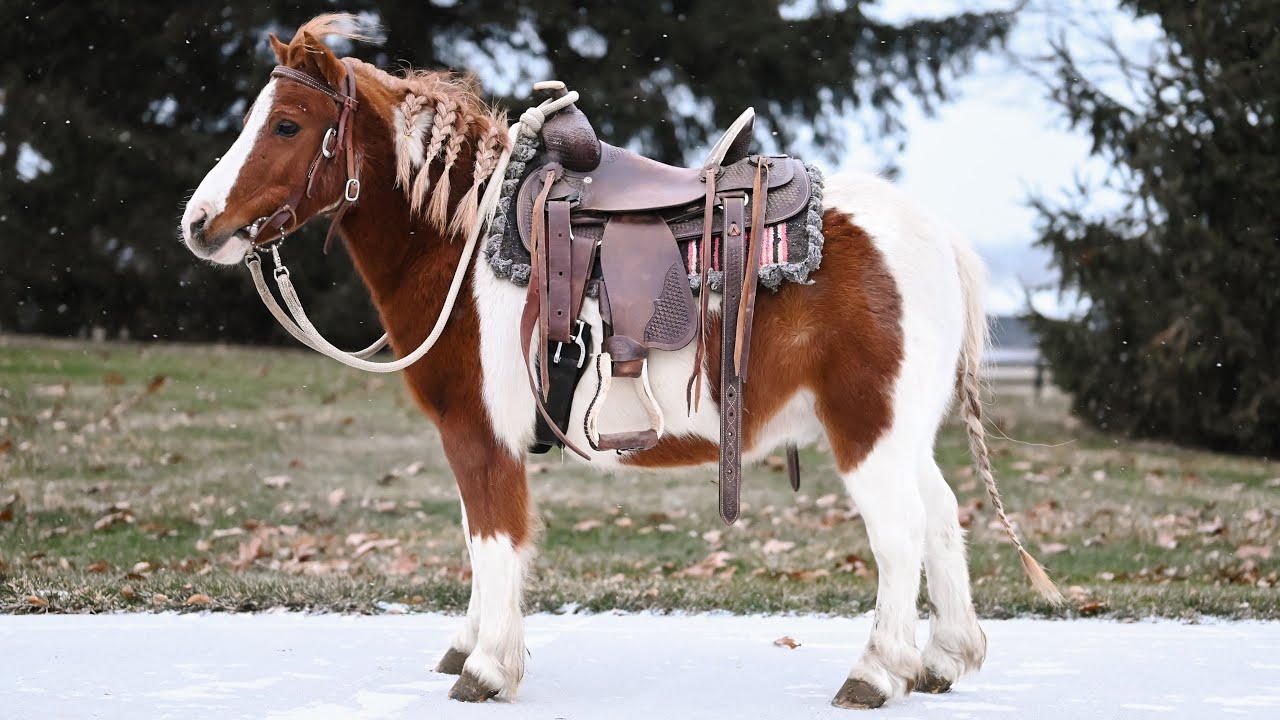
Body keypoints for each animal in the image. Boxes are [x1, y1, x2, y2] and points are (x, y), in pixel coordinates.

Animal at [178, 14, 1061, 709]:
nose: (198, 222)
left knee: (902, 532)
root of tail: (934, 234)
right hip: (902, 431)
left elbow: (493, 537)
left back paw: (878, 672)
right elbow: (476, 537)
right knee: (942, 517)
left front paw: (488, 668)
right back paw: (946, 656)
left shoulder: (480, 434)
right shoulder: (474, 437)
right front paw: (471, 645)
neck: (466, 242)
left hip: (867, 429)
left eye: (288, 125)